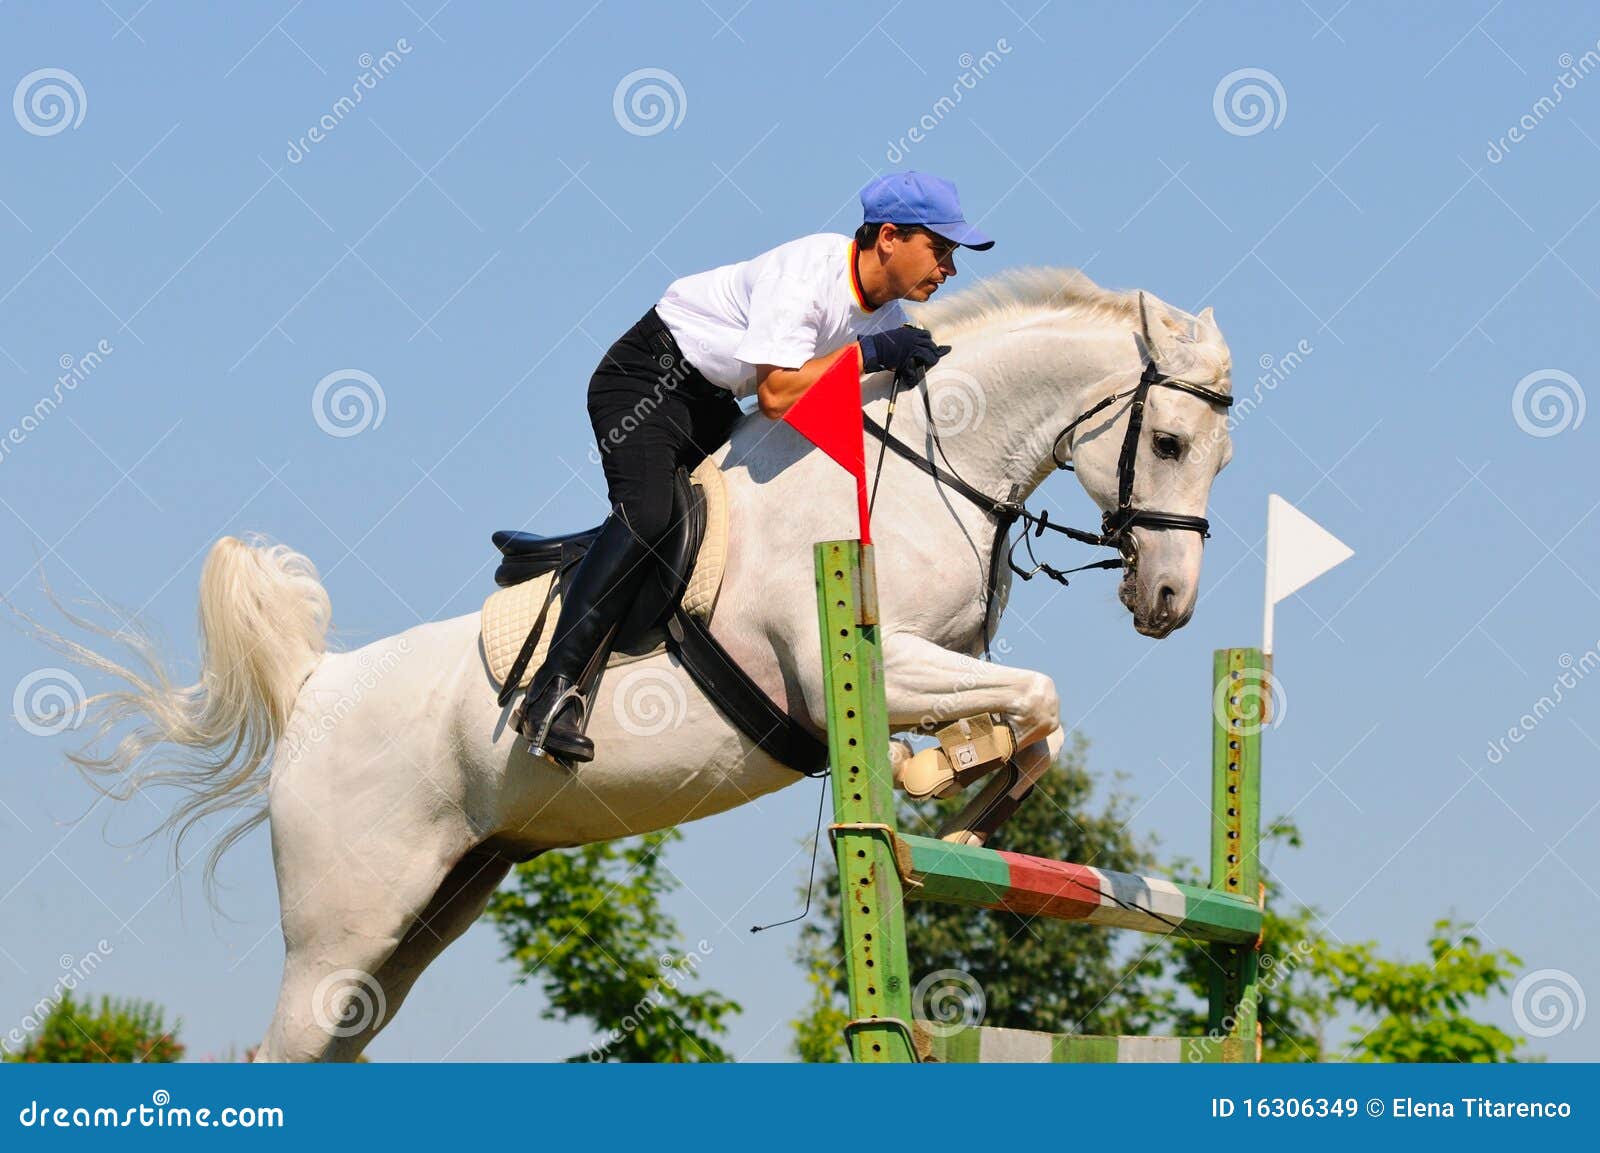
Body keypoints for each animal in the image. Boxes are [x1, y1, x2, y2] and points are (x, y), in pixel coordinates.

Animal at [50, 268, 1233, 1060]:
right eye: (1171, 444)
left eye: (1220, 456)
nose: (1170, 603)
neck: (916, 466)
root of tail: (313, 690)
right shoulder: (852, 666)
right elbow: (1036, 695)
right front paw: (939, 779)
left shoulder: (938, 656)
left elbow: (1034, 717)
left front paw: (961, 798)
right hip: (340, 924)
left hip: (432, 904)